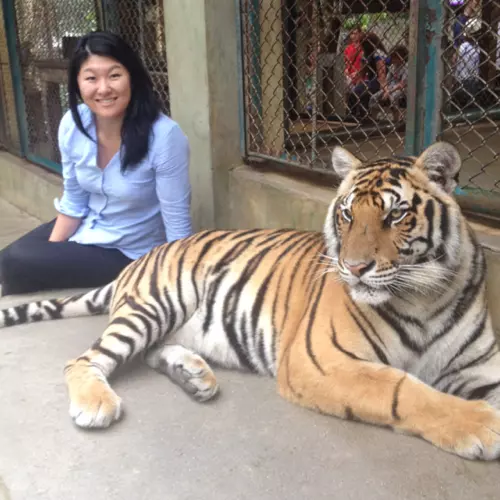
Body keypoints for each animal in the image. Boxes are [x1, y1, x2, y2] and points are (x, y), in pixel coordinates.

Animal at [0, 142, 500, 460]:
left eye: (396, 215)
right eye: (346, 213)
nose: (354, 268)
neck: (425, 297)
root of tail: (140, 258)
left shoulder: (479, 367)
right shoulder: (321, 360)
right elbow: (403, 388)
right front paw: (482, 425)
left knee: (147, 354)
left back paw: (195, 377)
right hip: (157, 303)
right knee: (84, 359)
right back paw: (97, 404)